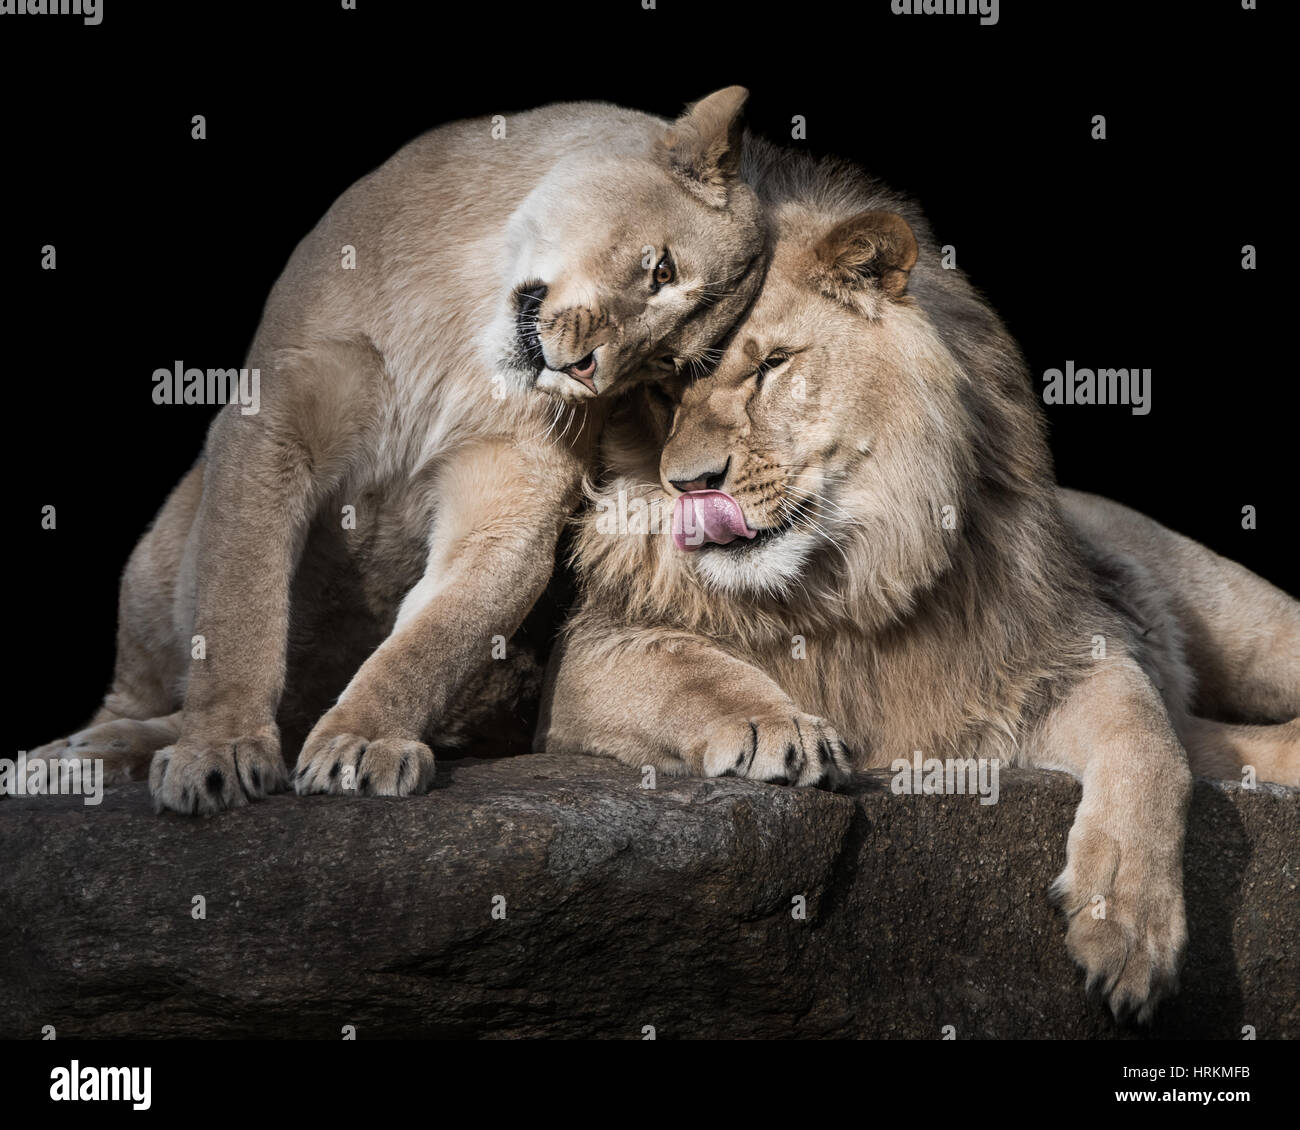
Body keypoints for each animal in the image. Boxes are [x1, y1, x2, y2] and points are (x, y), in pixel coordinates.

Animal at [25, 88, 769, 815]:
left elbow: (433, 642)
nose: (587, 373)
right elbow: (239, 605)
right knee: (135, 692)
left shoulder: (511, 501)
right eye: (661, 269)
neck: (462, 317)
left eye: (660, 364)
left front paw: (360, 744)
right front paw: (220, 750)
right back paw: (74, 756)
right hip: (154, 561)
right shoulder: (271, 423)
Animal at [536, 141, 1300, 1021]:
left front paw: (1128, 923)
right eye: (665, 388)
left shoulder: (1047, 661)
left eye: (771, 366)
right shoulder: (575, 670)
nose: (690, 485)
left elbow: (1147, 743)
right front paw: (776, 726)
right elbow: (680, 665)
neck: (845, 577)